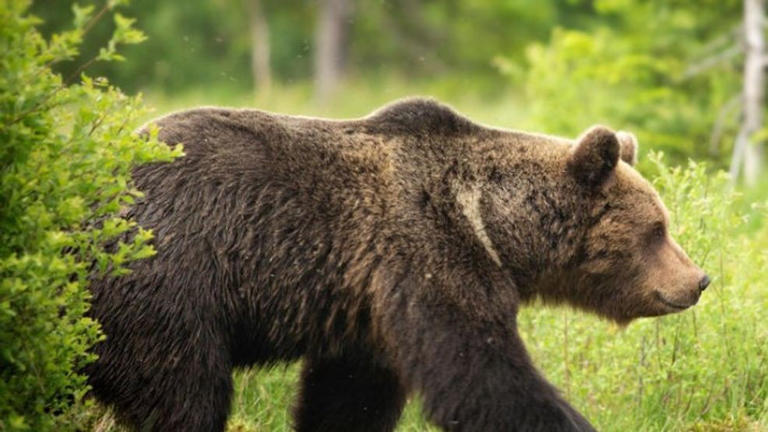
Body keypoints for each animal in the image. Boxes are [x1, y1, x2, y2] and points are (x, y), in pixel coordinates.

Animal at [85, 97, 709, 432]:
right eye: (657, 229)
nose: (699, 280)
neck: (493, 224)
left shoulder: (368, 306)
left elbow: (350, 396)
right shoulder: (427, 255)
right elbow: (482, 372)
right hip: (165, 283)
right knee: (185, 392)